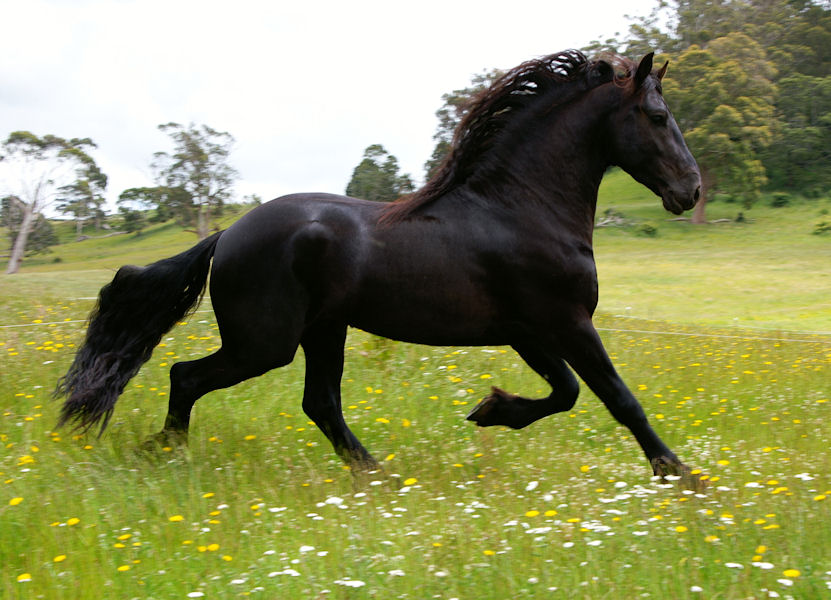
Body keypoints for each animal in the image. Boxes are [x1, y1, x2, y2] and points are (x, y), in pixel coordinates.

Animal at [56, 50, 702, 483]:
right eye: (657, 115)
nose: (690, 190)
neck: (520, 206)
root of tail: (227, 234)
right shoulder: (566, 322)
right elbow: (619, 399)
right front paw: (682, 477)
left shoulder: (530, 331)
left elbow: (565, 392)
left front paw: (491, 410)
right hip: (265, 343)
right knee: (186, 377)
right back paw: (167, 454)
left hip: (323, 330)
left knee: (319, 403)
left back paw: (375, 477)